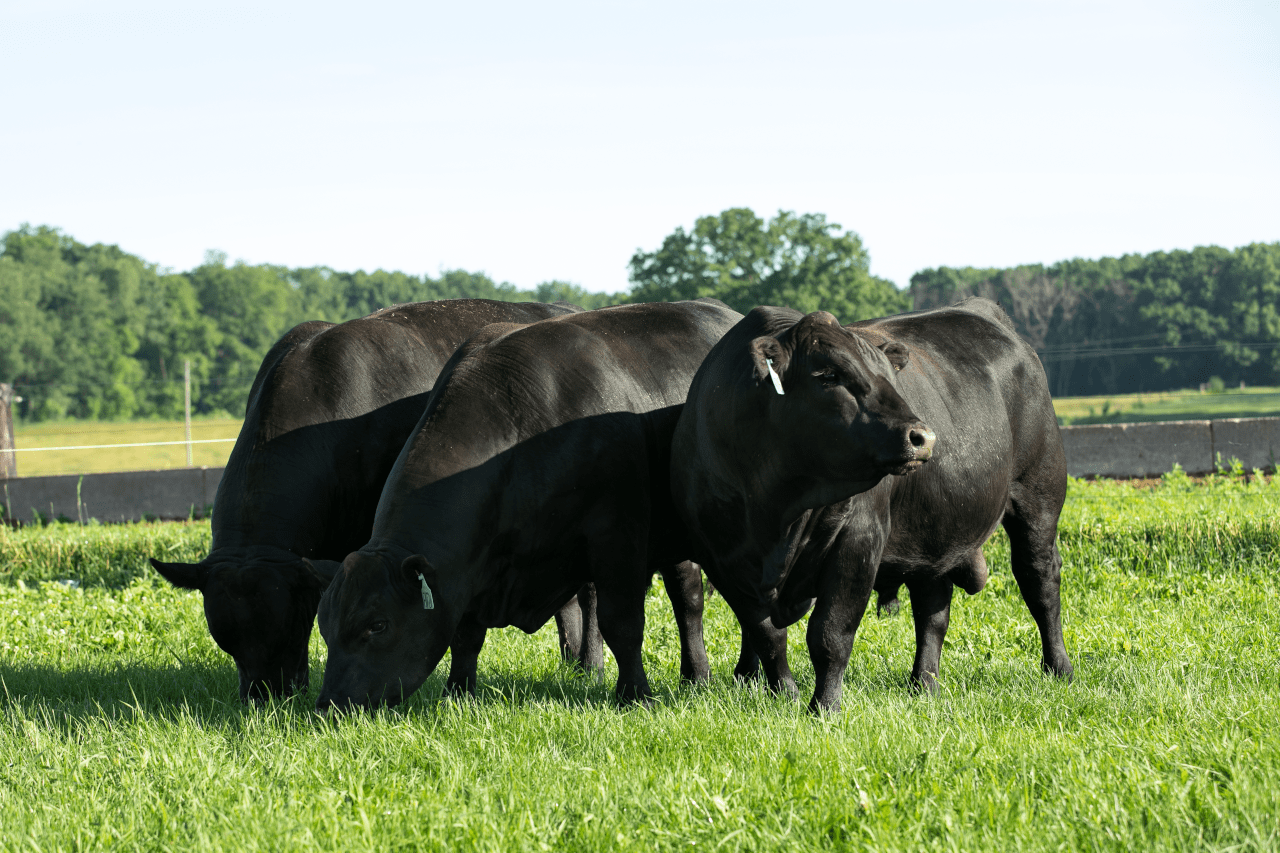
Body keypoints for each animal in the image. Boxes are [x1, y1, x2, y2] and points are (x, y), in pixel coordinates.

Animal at [148, 299, 604, 702]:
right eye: (225, 639)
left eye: (291, 625)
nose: (263, 699)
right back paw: (570, 662)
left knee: (588, 592)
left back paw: (589, 666)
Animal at [315, 299, 743, 711]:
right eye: (324, 625)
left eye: (378, 625)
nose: (329, 704)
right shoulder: (469, 566)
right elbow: (465, 636)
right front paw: (458, 695)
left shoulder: (618, 539)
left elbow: (622, 623)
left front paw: (635, 694)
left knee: (688, 600)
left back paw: (707, 675)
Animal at [670, 298, 1073, 713]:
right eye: (828, 375)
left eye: (889, 377)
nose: (922, 436)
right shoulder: (724, 560)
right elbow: (766, 634)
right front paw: (786, 693)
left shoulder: (858, 540)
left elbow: (830, 633)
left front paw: (825, 707)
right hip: (933, 532)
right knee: (932, 609)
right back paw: (924, 683)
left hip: (1037, 499)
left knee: (1039, 580)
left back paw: (1058, 668)